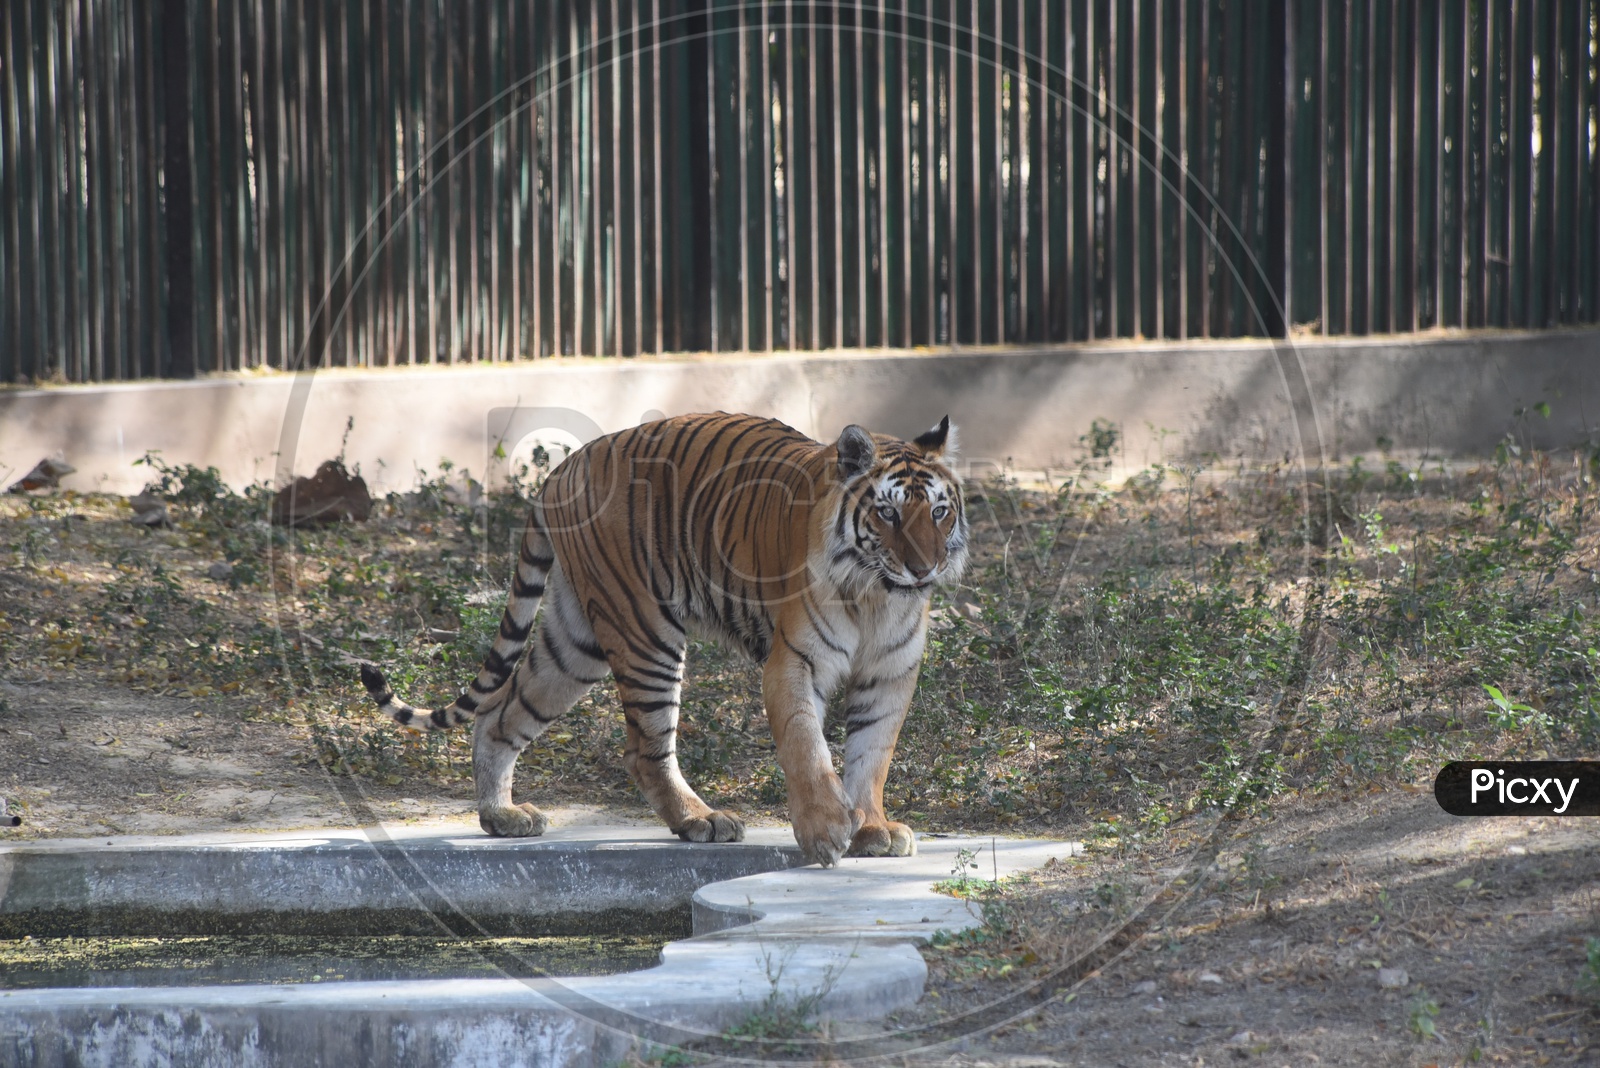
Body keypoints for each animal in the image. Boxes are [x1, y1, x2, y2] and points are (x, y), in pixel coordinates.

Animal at [359, 411, 968, 867]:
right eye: (888, 514)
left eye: (939, 512)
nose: (925, 568)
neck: (877, 594)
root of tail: (563, 467)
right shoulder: (796, 661)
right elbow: (807, 747)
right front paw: (824, 833)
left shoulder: (890, 673)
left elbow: (872, 753)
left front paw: (872, 828)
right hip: (644, 630)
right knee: (644, 751)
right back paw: (701, 819)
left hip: (575, 643)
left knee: (500, 713)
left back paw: (501, 816)